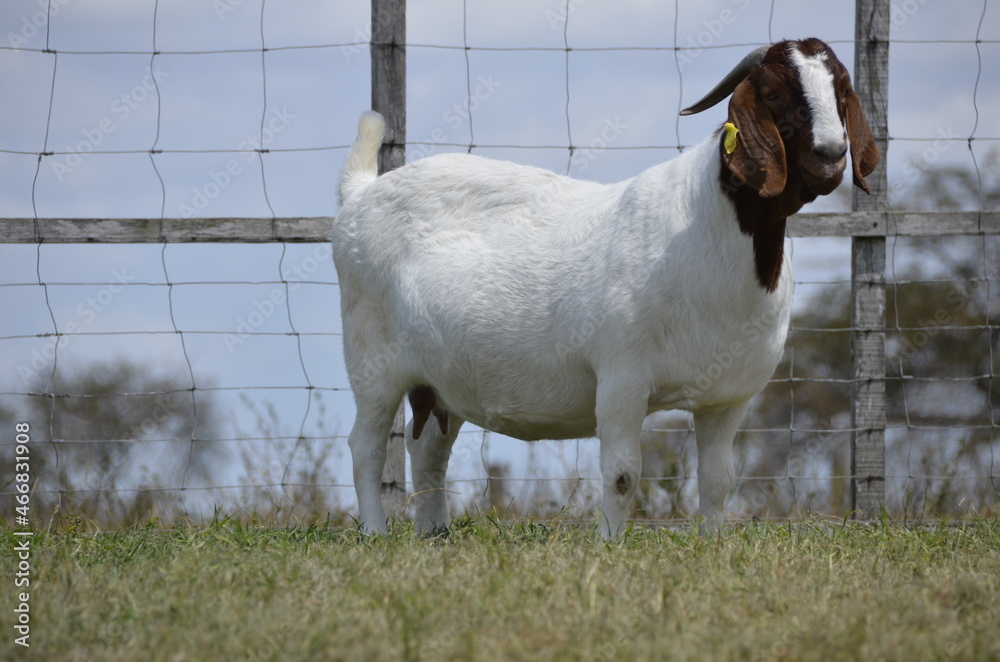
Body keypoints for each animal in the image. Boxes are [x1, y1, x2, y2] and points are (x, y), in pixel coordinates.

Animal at [333, 38, 878, 539]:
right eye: (772, 92)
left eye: (841, 89)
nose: (831, 155)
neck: (706, 229)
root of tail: (360, 194)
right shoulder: (621, 377)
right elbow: (622, 476)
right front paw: (609, 546)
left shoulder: (727, 398)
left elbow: (719, 481)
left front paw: (712, 545)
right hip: (372, 360)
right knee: (365, 447)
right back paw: (375, 533)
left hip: (437, 380)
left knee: (426, 449)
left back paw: (434, 535)